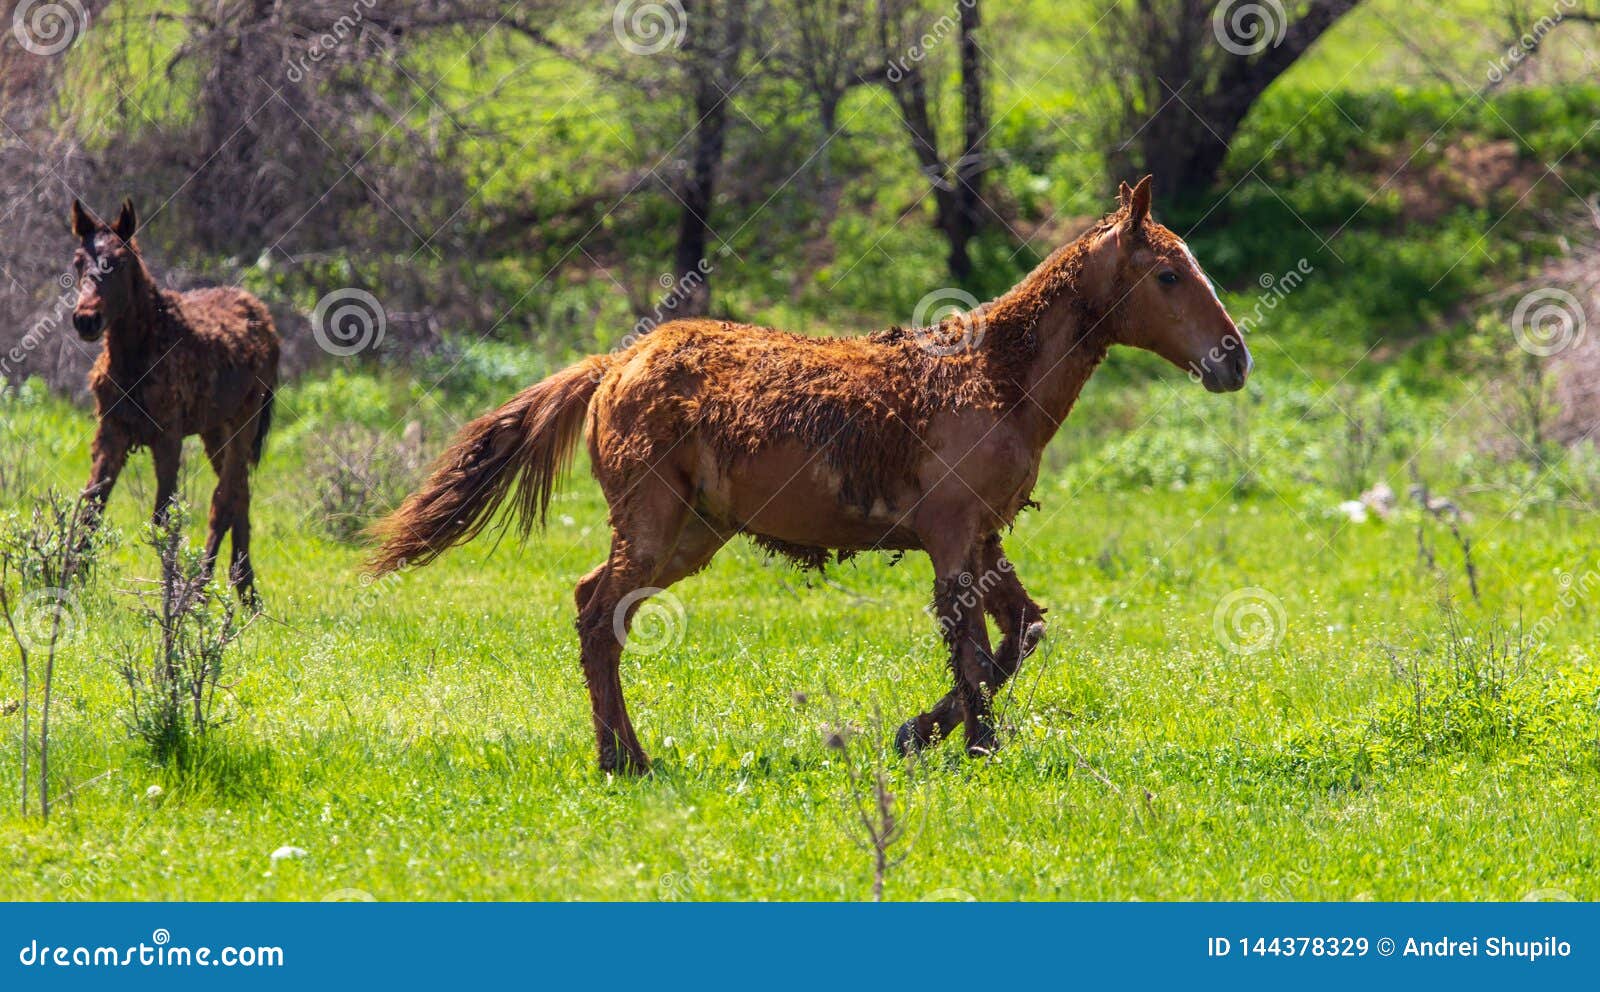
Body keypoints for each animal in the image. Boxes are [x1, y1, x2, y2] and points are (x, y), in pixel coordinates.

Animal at [69, 198, 280, 603]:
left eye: (119, 262)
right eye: (77, 262)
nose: (86, 319)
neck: (134, 354)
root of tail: (265, 318)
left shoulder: (167, 435)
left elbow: (162, 517)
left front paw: (171, 590)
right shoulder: (111, 430)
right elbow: (92, 506)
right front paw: (67, 579)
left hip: (244, 421)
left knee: (223, 500)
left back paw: (203, 588)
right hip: (215, 429)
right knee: (240, 493)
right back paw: (245, 589)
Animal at [369, 176, 1251, 773]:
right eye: (1168, 275)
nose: (1234, 359)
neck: (994, 377)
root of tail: (614, 365)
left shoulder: (984, 538)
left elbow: (1019, 633)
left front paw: (919, 734)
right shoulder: (952, 540)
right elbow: (969, 645)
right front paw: (975, 748)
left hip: (690, 534)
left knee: (599, 607)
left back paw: (622, 754)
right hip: (654, 525)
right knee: (597, 615)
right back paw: (628, 760)